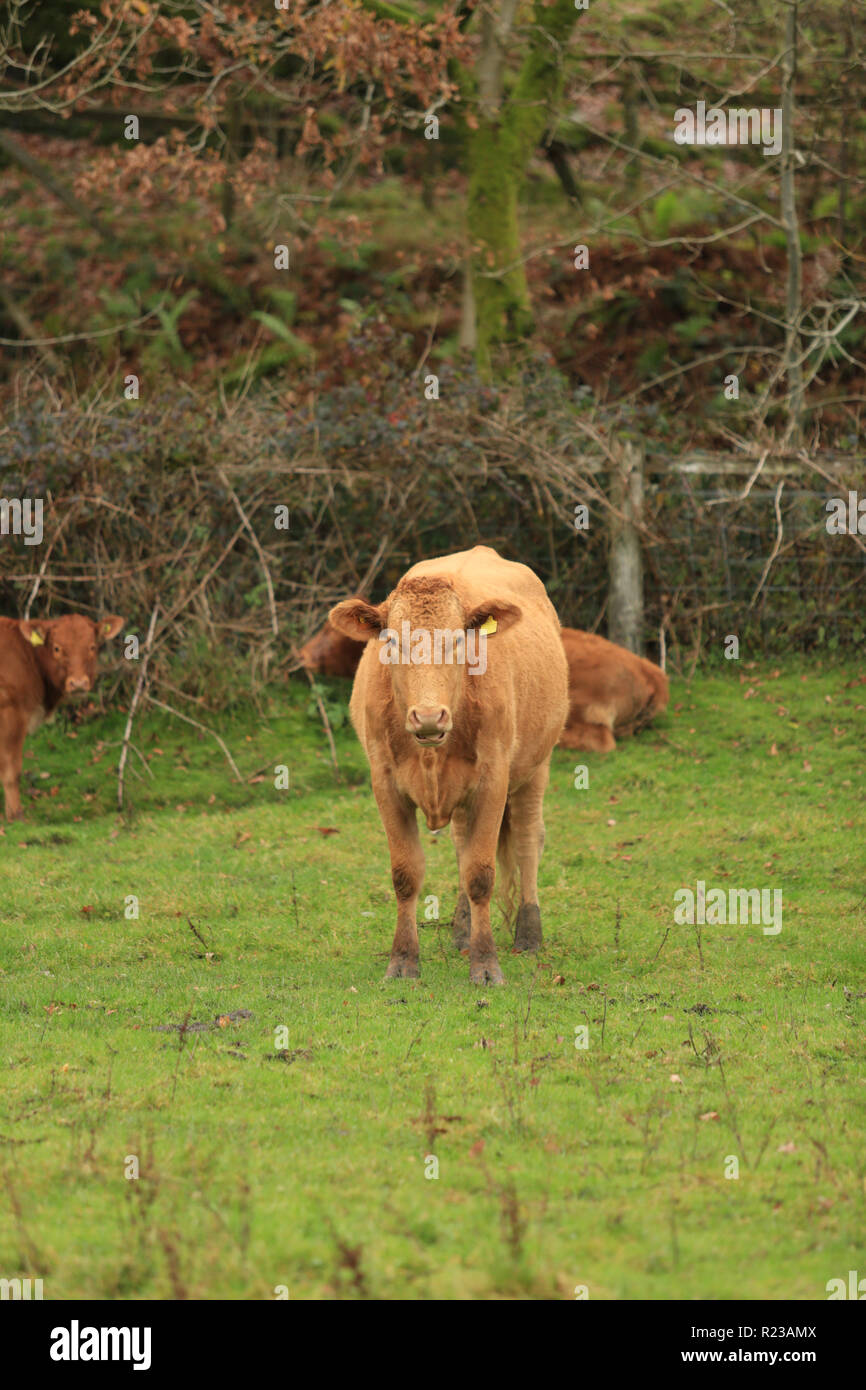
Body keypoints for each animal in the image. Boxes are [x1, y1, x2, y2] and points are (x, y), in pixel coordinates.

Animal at [0, 613, 124, 819]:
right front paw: (15, 814)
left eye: (92, 646)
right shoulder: (12, 715)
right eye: (57, 648)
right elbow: (12, 770)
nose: (78, 683)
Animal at [329, 544, 569, 985]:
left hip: (537, 765)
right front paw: (403, 961)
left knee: (528, 841)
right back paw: (461, 929)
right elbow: (406, 874)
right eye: (391, 640)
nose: (428, 716)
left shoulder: (493, 780)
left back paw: (529, 934)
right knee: (461, 843)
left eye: (458, 639)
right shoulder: (385, 783)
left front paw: (486, 964)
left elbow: (481, 873)